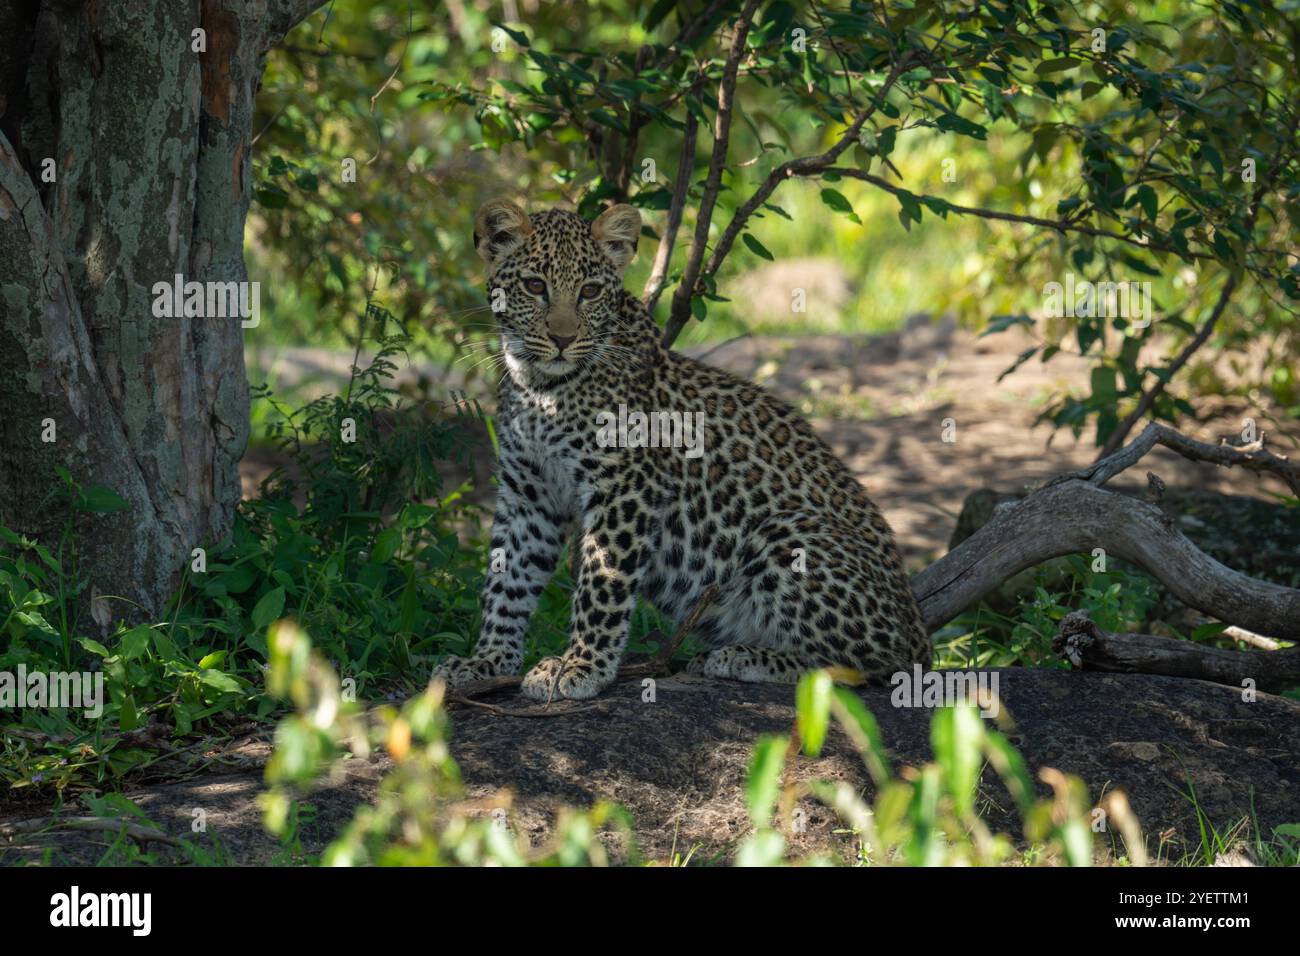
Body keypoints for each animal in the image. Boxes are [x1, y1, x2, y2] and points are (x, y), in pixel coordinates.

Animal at [432, 198, 931, 701]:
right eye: (535, 286)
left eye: (590, 291)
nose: (562, 339)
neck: (540, 387)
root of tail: (920, 632)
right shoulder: (528, 493)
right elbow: (508, 578)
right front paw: (488, 660)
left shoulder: (625, 487)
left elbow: (601, 583)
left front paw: (579, 666)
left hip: (786, 532)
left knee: (869, 664)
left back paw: (745, 658)